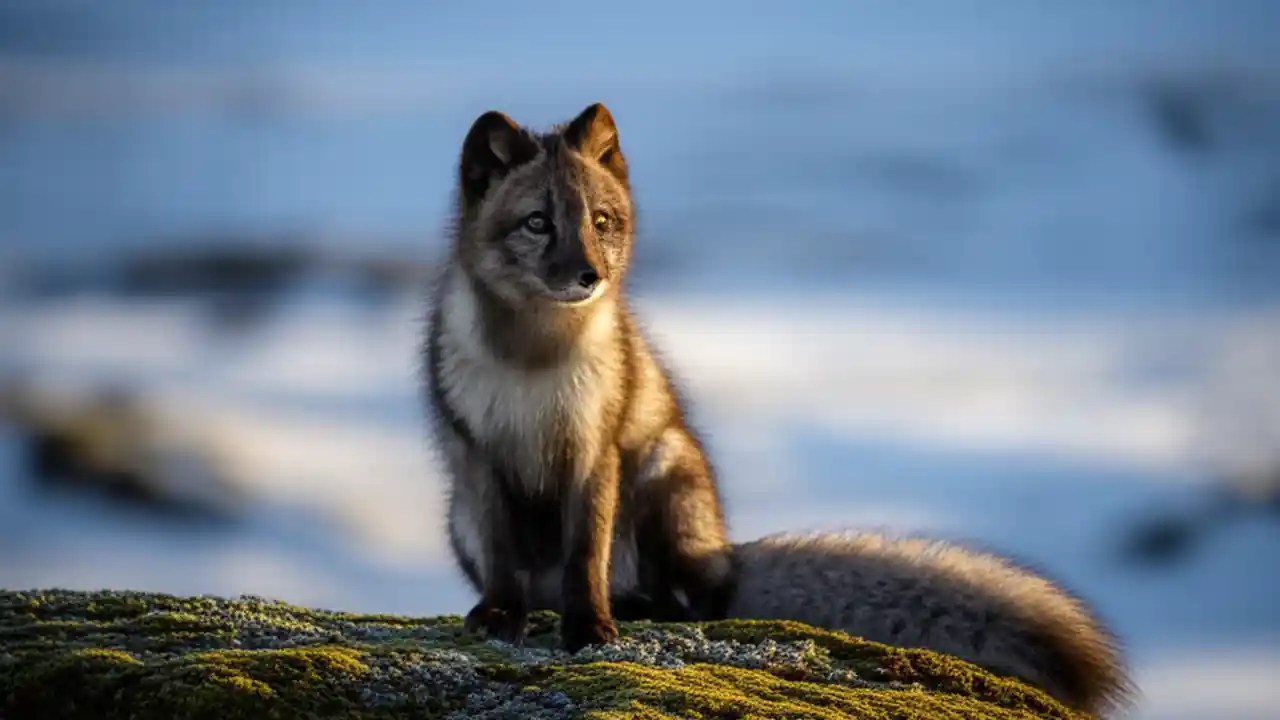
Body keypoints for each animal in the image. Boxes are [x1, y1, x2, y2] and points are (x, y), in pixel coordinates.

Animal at [424, 103, 1130, 715]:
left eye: (600, 221)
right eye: (538, 222)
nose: (589, 276)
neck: (534, 361)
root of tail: (727, 555)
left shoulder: (596, 450)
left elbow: (584, 558)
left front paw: (591, 627)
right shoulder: (479, 455)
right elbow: (505, 563)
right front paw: (501, 617)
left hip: (663, 472)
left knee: (695, 601)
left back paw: (641, 607)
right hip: (458, 514)